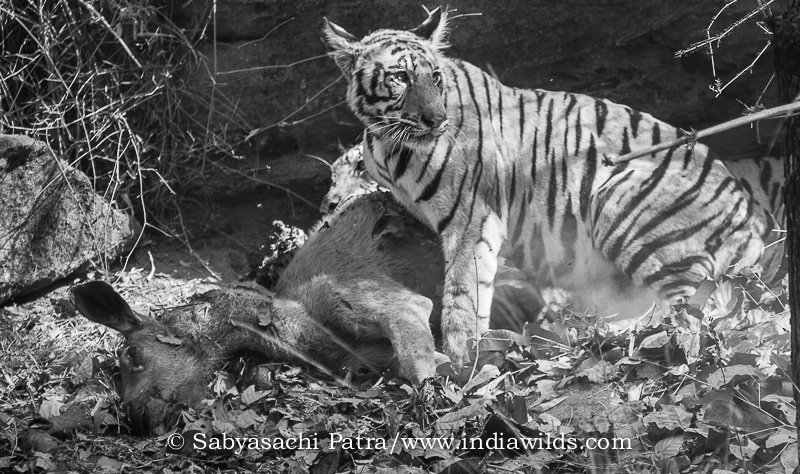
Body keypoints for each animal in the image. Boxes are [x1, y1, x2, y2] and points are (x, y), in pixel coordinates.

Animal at [322, 8, 782, 369]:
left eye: (435, 78)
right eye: (399, 77)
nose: (437, 119)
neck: (389, 143)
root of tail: (751, 220)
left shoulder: (473, 220)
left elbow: (462, 296)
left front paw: (460, 364)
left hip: (620, 197)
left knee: (695, 312)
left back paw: (617, 335)